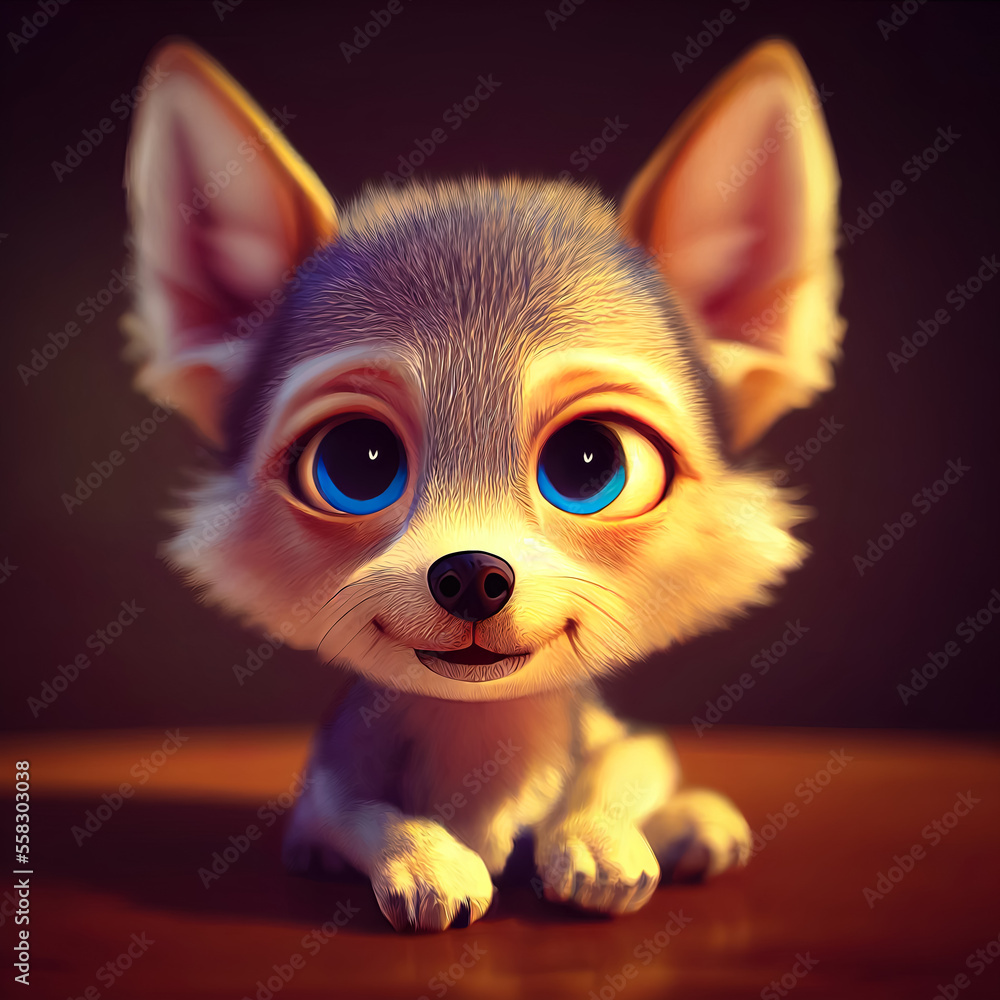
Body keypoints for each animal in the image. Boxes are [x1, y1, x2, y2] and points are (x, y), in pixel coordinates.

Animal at [123, 37, 842, 931]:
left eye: (590, 462)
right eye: (356, 462)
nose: (472, 573)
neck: (486, 738)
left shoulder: (614, 734)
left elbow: (632, 757)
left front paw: (593, 841)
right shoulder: (325, 786)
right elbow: (361, 814)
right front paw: (425, 861)